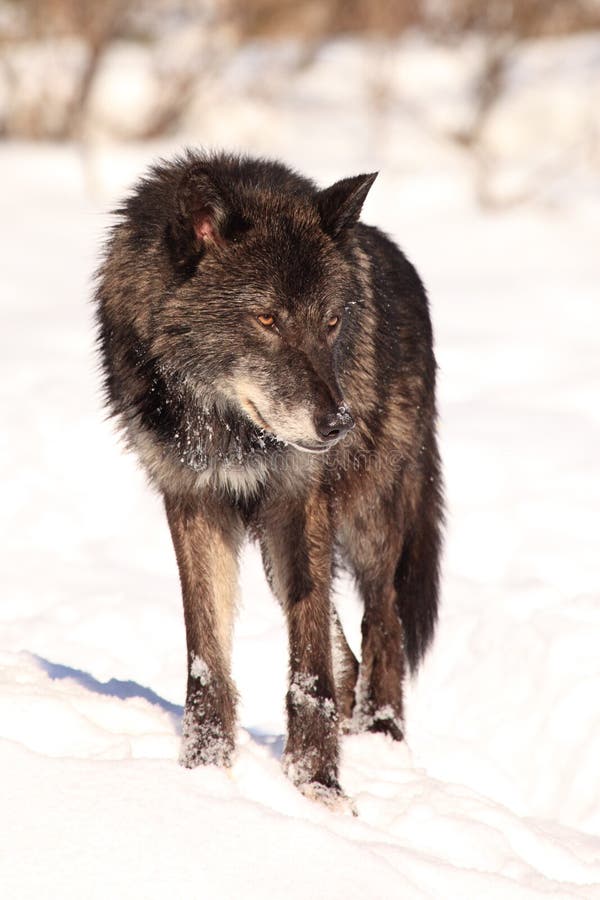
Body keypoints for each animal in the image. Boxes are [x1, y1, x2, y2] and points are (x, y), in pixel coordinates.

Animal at [94, 150, 443, 806]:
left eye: (330, 322)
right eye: (267, 318)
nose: (338, 423)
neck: (226, 426)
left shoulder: (300, 500)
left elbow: (310, 671)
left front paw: (319, 788)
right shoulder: (193, 498)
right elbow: (207, 660)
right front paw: (204, 772)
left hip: (370, 520)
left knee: (382, 626)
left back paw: (382, 740)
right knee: (348, 653)